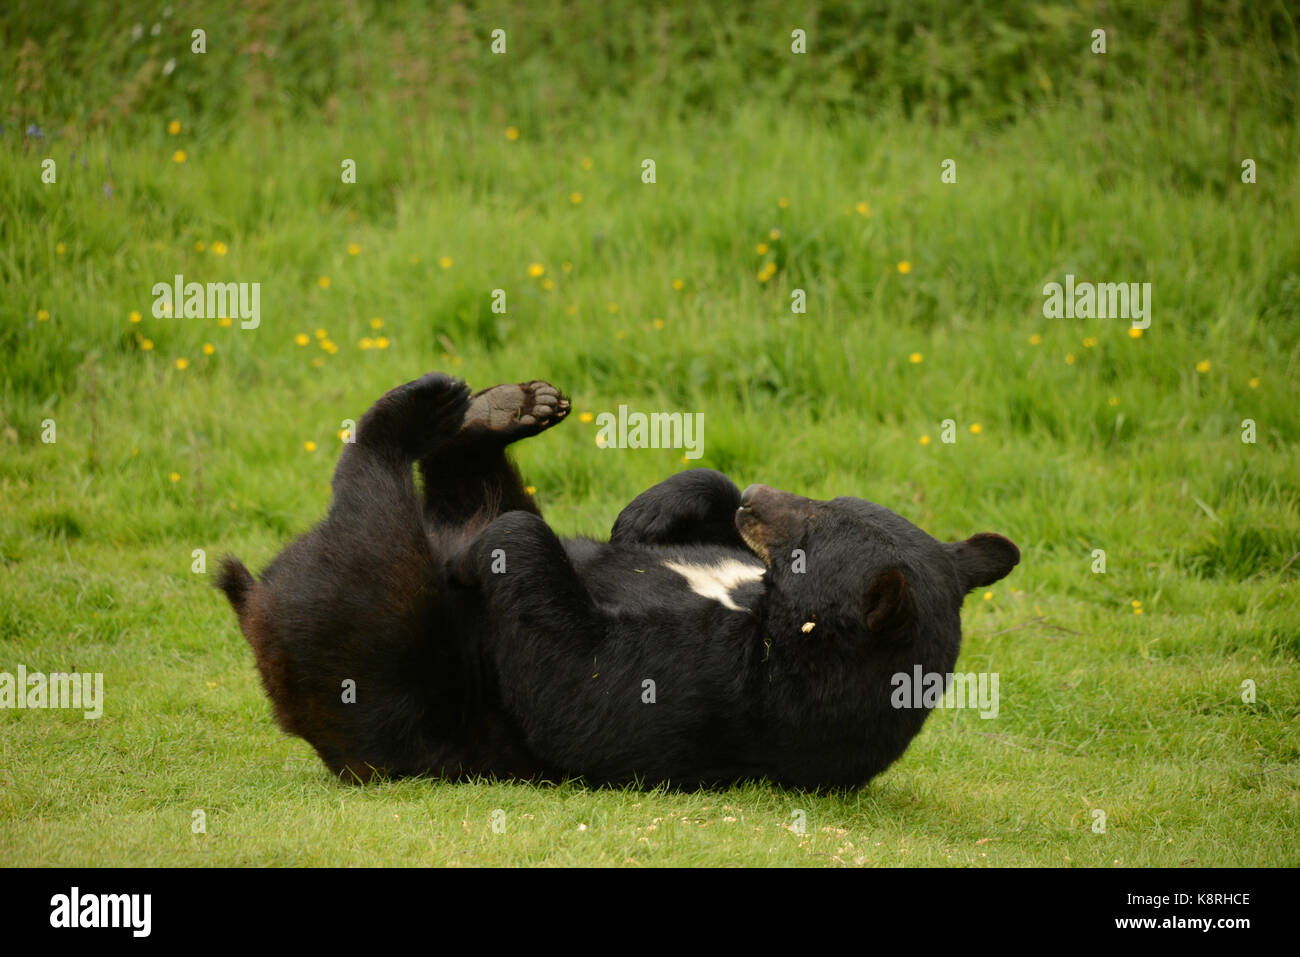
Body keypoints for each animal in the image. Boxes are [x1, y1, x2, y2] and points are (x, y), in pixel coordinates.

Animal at [218, 372, 1020, 789]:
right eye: (829, 502)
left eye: (810, 538)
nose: (762, 496)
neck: (768, 616)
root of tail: (254, 603)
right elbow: (683, 512)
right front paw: (653, 510)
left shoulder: (723, 687)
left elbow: (580, 683)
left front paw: (493, 554)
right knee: (468, 483)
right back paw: (504, 408)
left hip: (373, 632)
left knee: (377, 518)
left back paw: (416, 418)